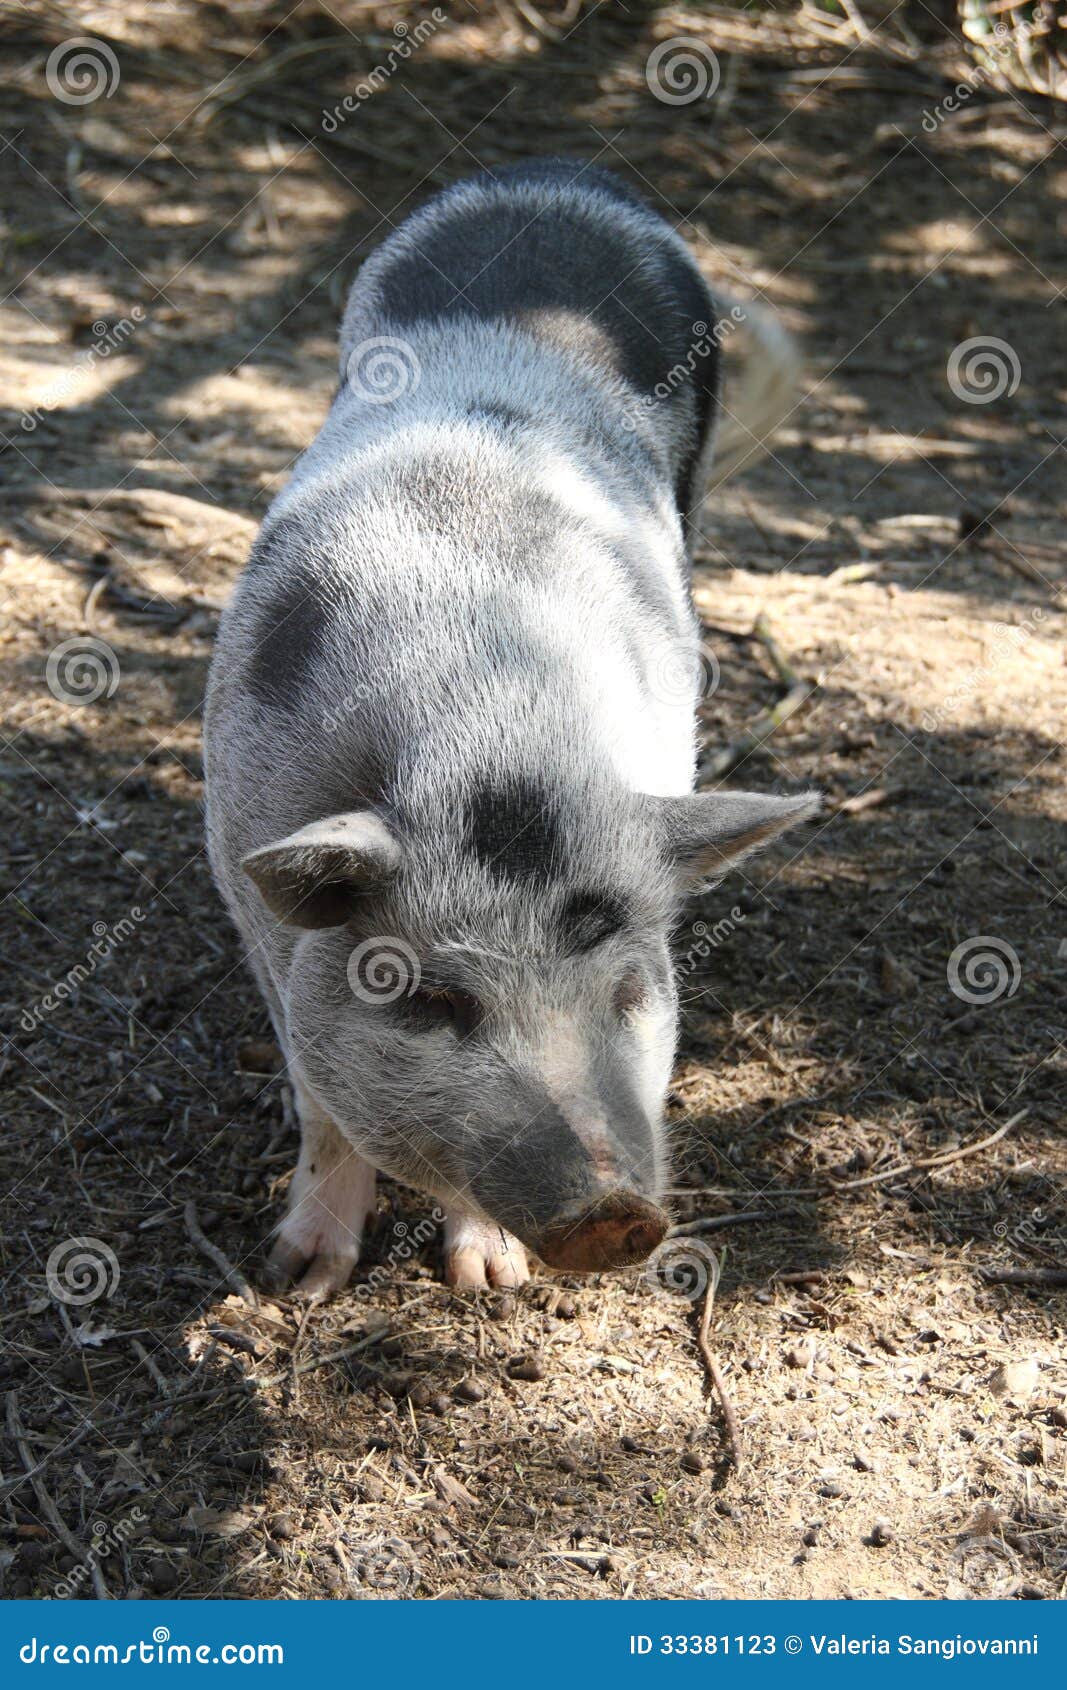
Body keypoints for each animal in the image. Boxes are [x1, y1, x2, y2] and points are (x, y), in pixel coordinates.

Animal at [204, 158, 817, 1299]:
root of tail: (561, 175)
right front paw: (296, 1281)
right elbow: (321, 1102)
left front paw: (489, 1286)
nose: (616, 1215)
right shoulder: (243, 874)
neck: (490, 732)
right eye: (436, 1000)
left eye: (629, 989)